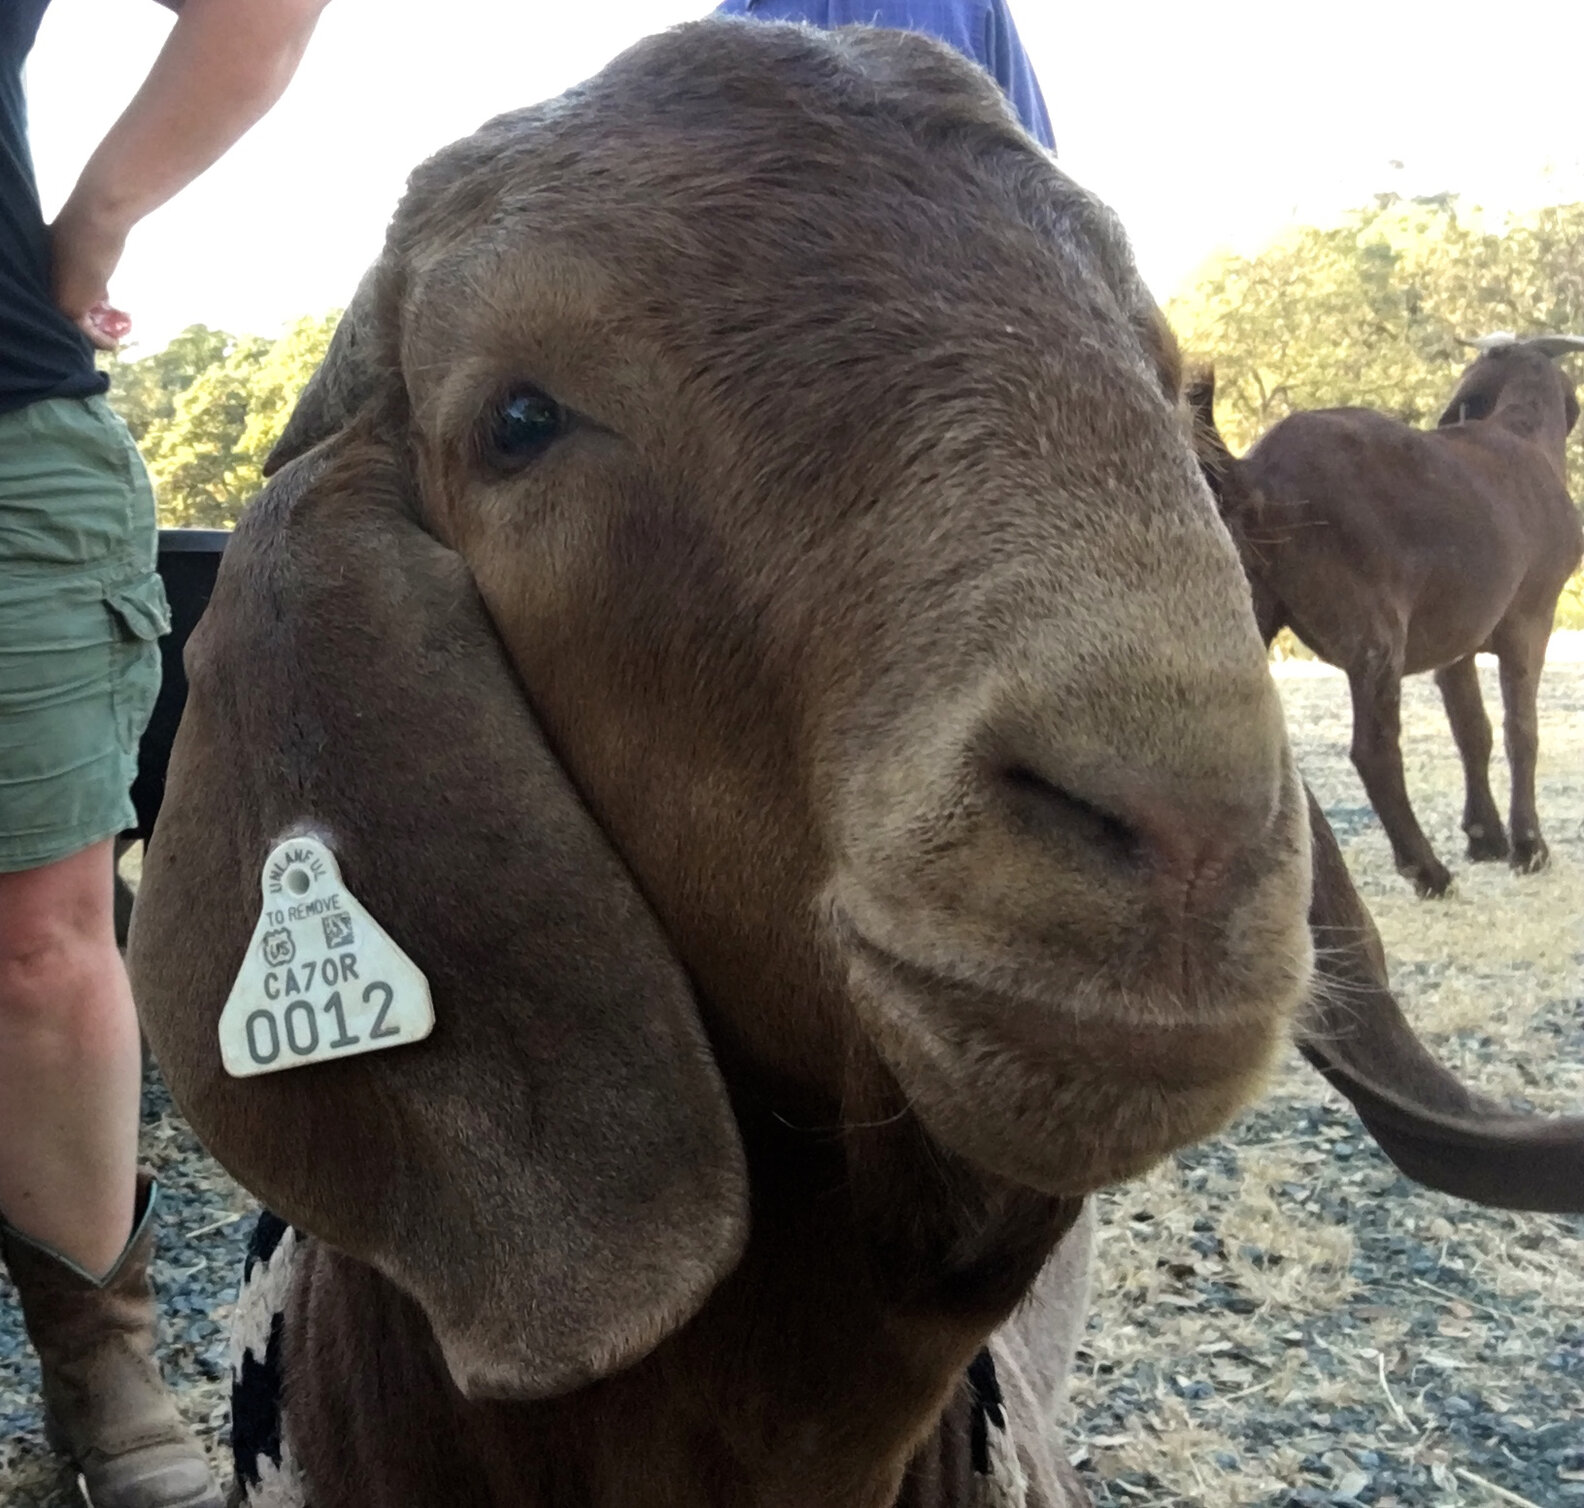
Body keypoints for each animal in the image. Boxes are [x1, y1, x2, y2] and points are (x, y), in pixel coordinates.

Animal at [1195, 337, 1584, 897]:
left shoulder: (1458, 640)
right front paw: (1529, 847)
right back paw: (1427, 870)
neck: (1522, 435)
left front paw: (1484, 837)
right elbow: (1521, 731)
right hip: (1374, 630)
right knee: (1374, 751)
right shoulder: (1530, 617)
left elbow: (1473, 730)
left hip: (1245, 602)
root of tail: (1254, 478)